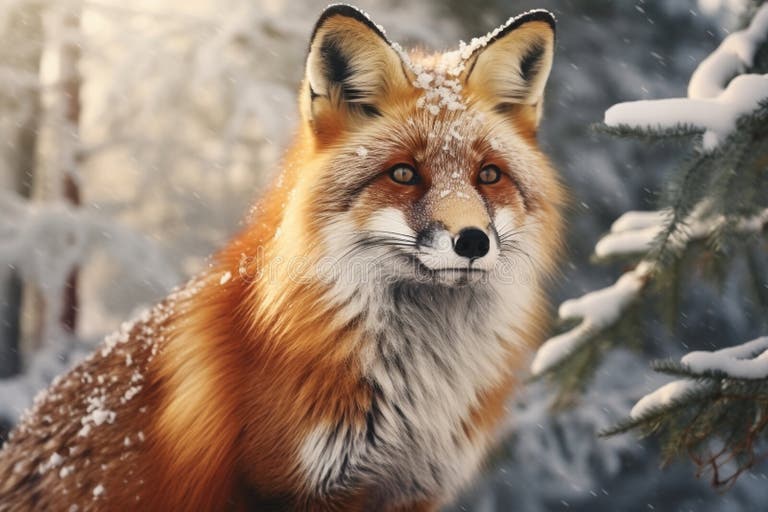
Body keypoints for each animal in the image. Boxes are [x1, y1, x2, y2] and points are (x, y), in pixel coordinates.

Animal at [0, 5, 563, 511]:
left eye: (488, 175)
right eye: (404, 174)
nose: (472, 241)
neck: (418, 393)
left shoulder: (411, 491)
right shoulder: (285, 486)